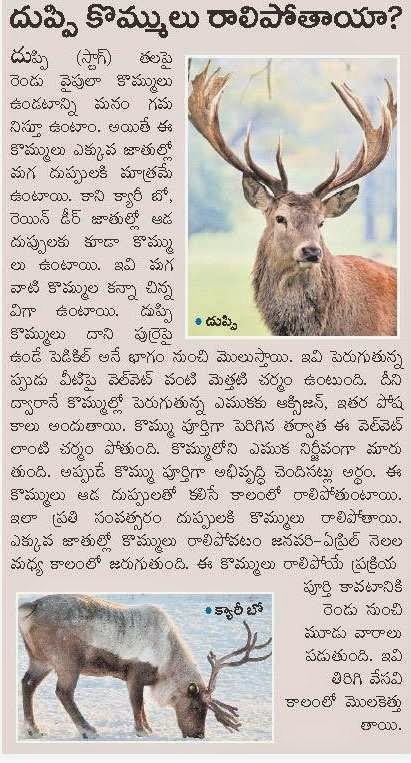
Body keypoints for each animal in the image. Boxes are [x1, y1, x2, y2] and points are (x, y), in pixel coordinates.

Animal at [18, 594, 271, 740]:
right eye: (196, 706)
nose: (198, 735)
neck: (168, 660)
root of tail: (32, 606)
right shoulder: (135, 675)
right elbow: (137, 704)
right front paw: (141, 731)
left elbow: (143, 708)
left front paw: (149, 728)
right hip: (68, 661)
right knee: (63, 692)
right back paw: (87, 729)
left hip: (41, 660)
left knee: (27, 683)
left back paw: (34, 729)